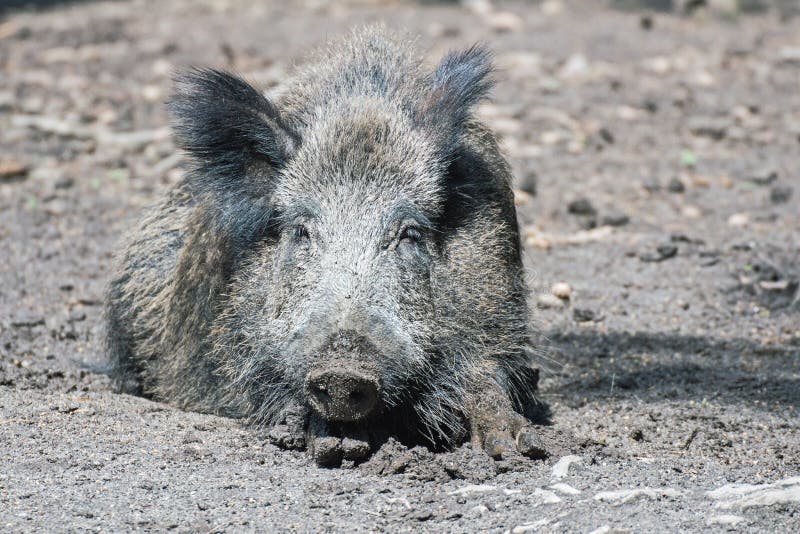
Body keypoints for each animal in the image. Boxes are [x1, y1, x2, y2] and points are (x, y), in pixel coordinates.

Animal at [105, 27, 545, 466]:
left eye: (409, 233)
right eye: (302, 231)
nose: (341, 372)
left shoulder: (494, 311)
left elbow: (484, 375)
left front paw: (516, 448)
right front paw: (332, 443)